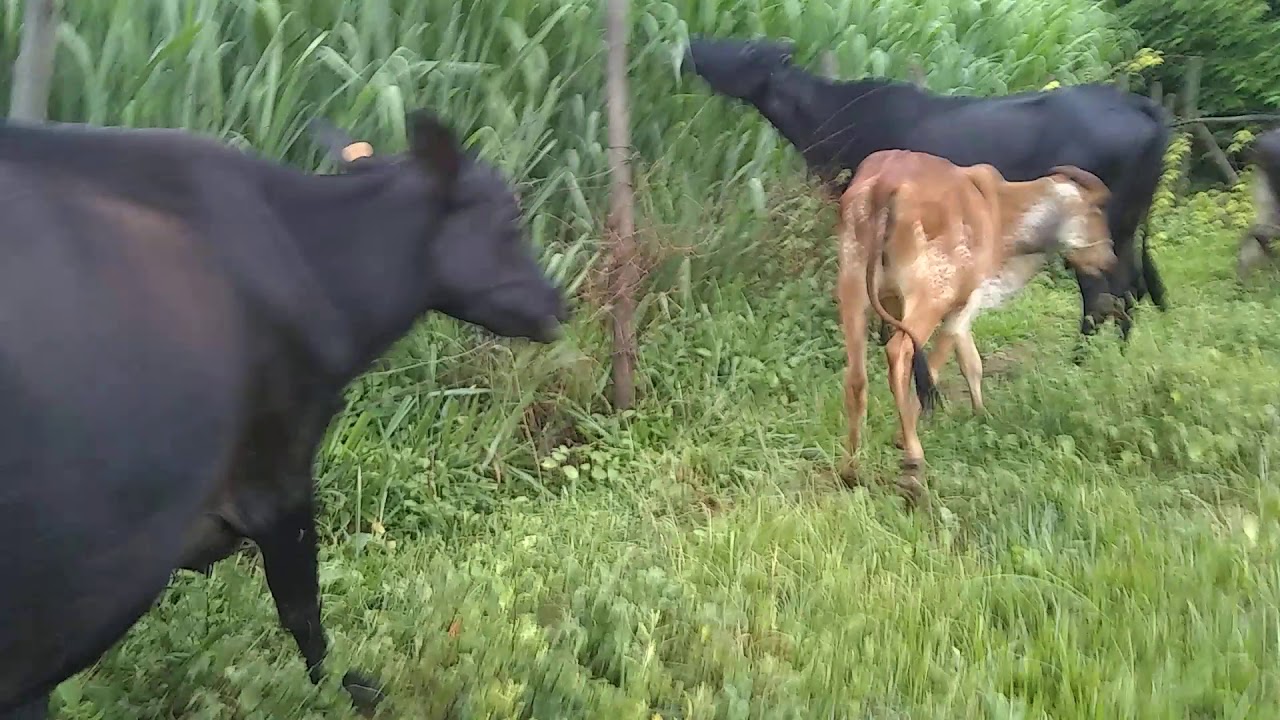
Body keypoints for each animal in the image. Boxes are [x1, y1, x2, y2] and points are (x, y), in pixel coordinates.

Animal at [683, 35, 1167, 348]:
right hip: (1125, 228)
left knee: (1106, 295)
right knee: (1128, 290)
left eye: (746, 49)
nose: (691, 43)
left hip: (1091, 232)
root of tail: (1136, 102)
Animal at [836, 150, 1116, 503]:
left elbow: (970, 362)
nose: (1109, 259)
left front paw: (980, 412)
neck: (999, 208)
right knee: (899, 353)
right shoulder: (961, 307)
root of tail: (885, 184)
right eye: (1096, 210)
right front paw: (904, 436)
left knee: (856, 376)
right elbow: (947, 365)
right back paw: (913, 463)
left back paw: (850, 469)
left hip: (852, 287)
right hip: (929, 296)